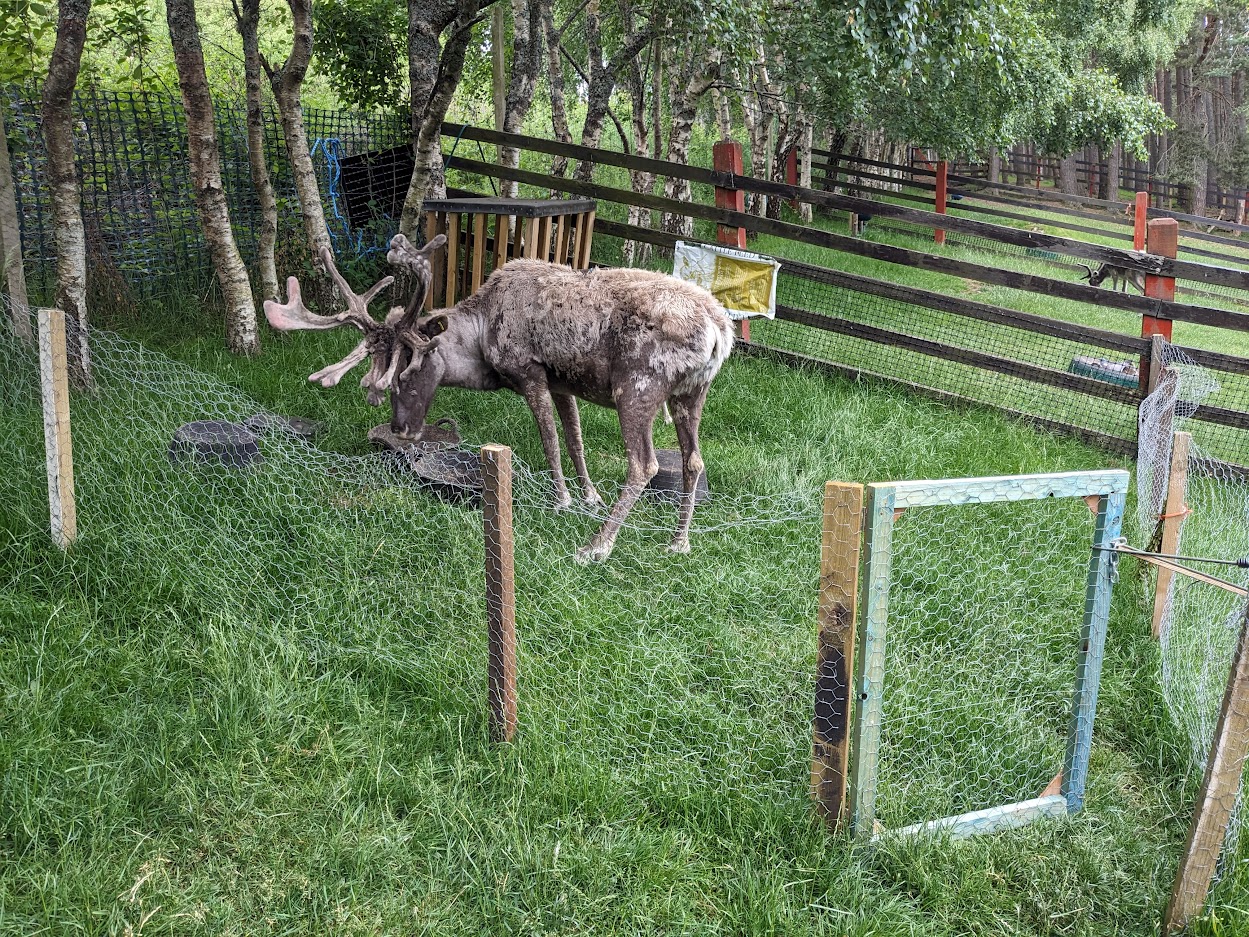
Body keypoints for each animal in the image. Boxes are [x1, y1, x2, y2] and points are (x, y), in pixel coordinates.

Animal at [263, 234, 734, 563]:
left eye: (404, 373)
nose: (400, 429)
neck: (482, 338)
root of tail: (720, 331)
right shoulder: (562, 382)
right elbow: (575, 440)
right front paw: (588, 496)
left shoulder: (529, 370)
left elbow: (550, 442)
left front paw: (562, 501)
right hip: (692, 393)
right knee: (693, 460)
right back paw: (679, 541)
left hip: (637, 386)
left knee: (645, 465)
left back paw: (597, 546)